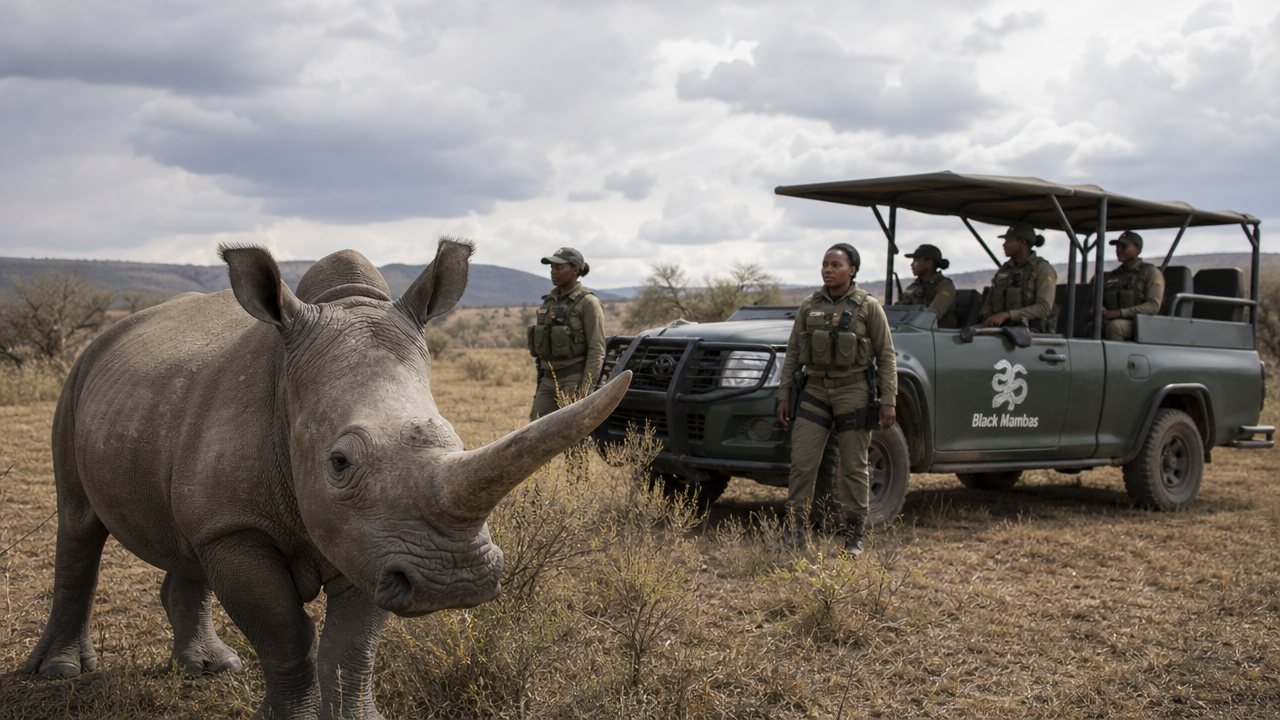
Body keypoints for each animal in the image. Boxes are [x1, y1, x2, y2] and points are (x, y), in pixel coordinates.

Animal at [24, 239, 631, 720]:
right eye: (339, 463)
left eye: (456, 440)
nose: (455, 581)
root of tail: (110, 334)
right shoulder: (246, 528)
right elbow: (286, 635)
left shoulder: (374, 539)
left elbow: (351, 647)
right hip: (78, 381)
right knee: (79, 525)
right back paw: (57, 673)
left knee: (186, 536)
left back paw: (210, 668)